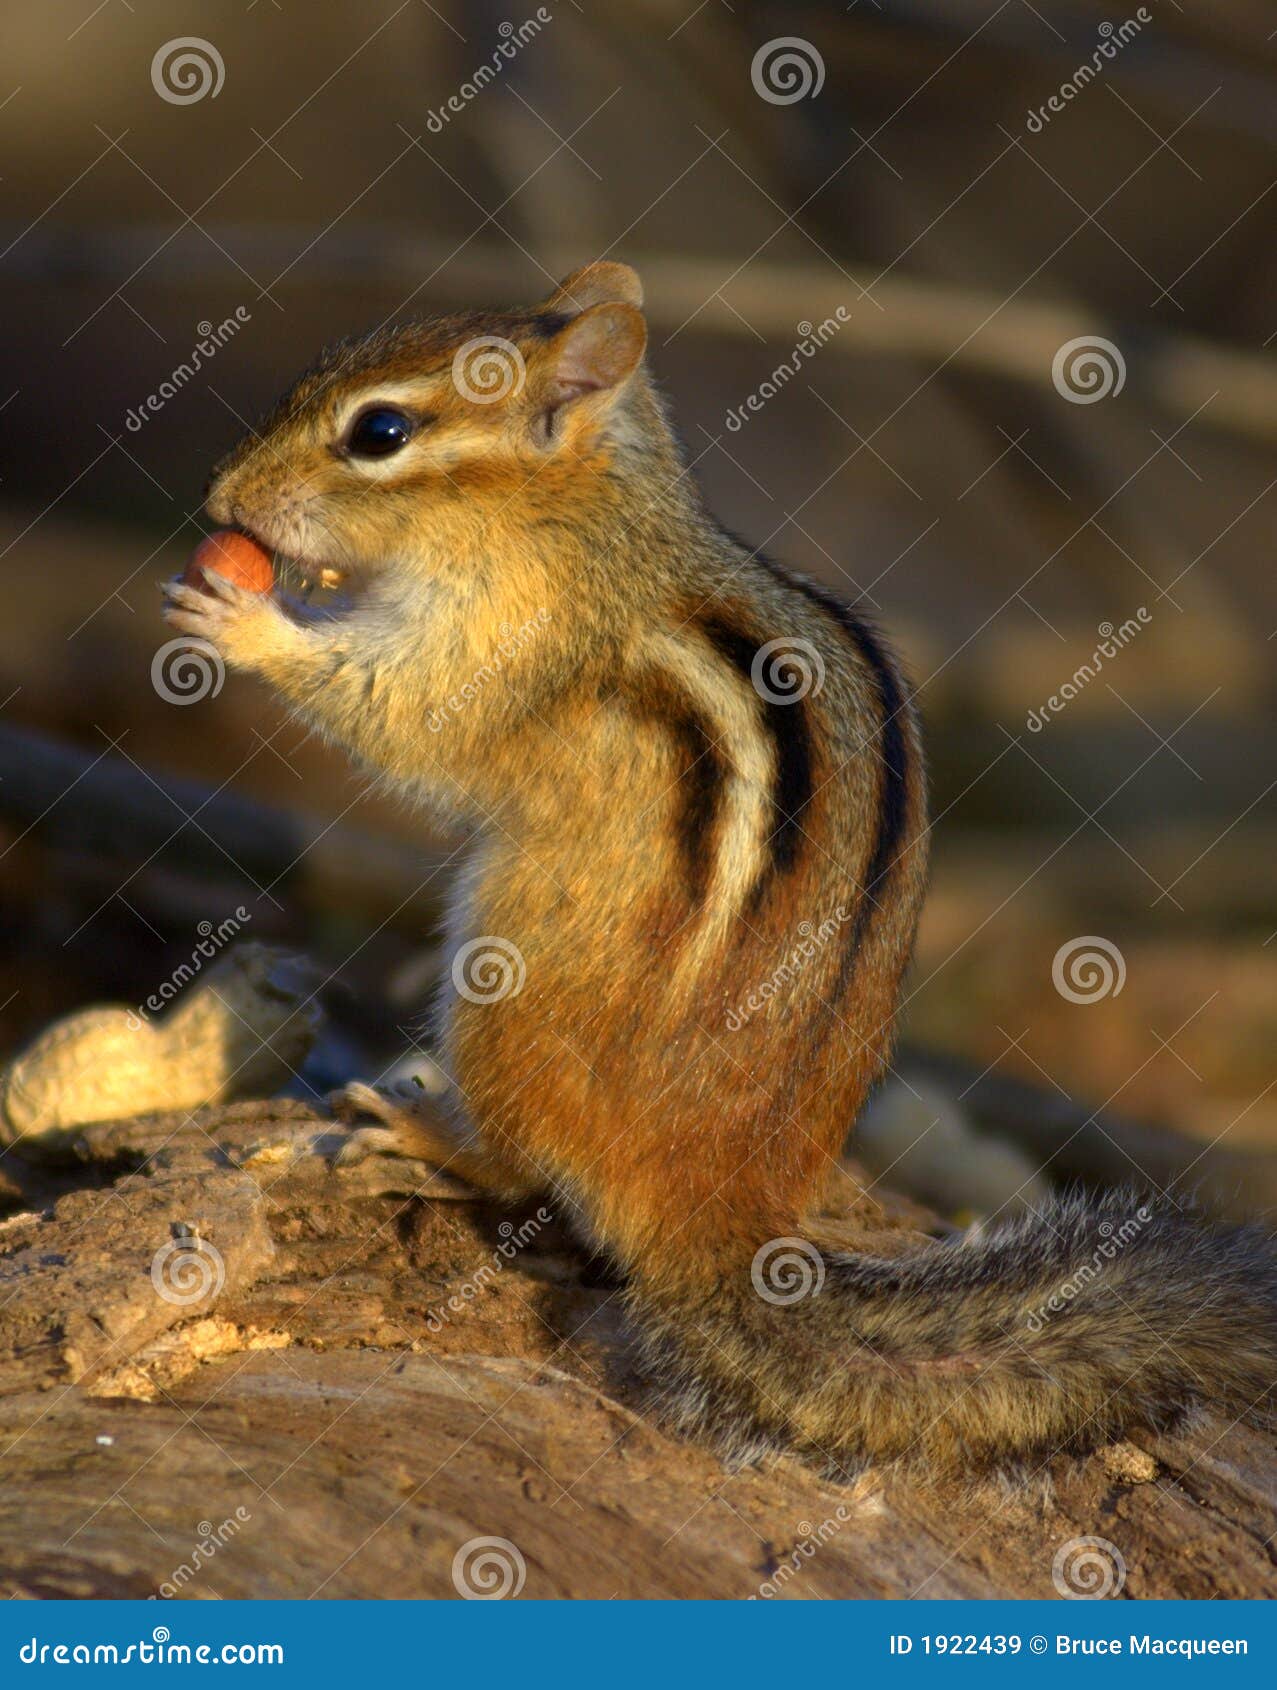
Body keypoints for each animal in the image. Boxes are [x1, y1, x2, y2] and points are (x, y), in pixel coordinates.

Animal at [163, 260, 1277, 1477]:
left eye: (379, 431)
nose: (219, 494)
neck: (576, 517)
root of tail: (712, 1208)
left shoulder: (506, 645)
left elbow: (405, 722)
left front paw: (249, 620)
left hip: (509, 984)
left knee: (521, 1168)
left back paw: (422, 1132)